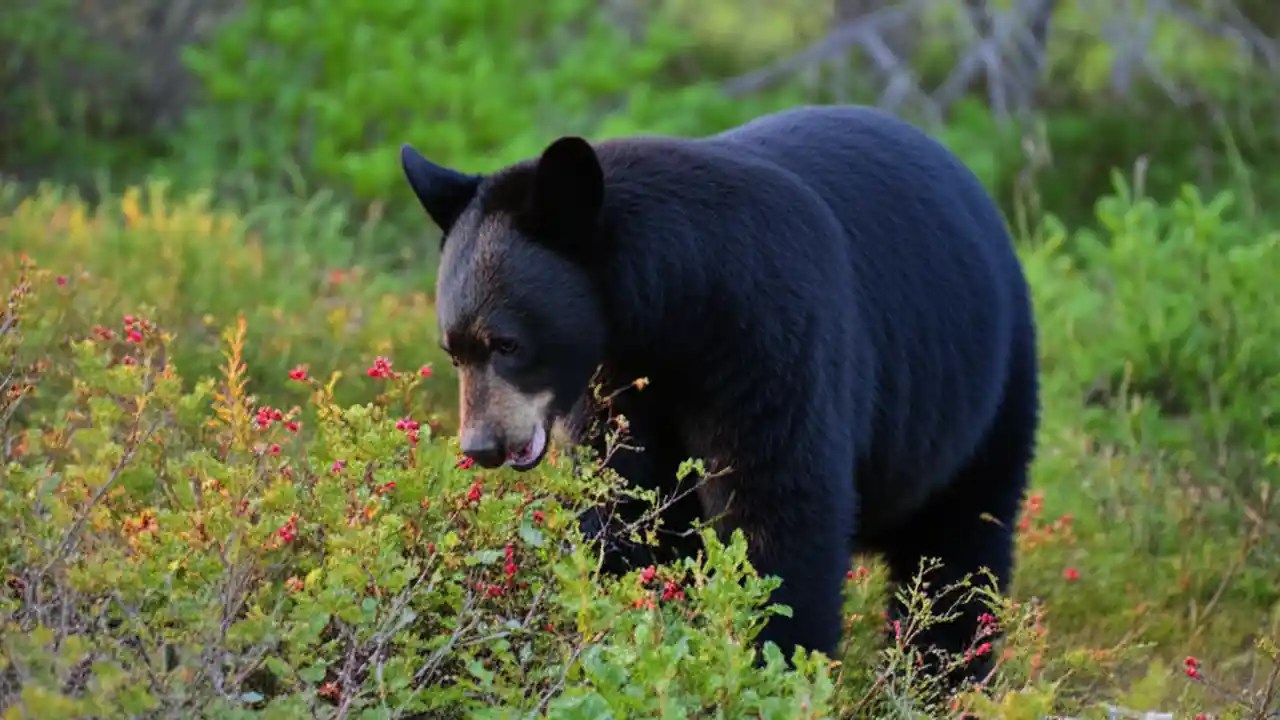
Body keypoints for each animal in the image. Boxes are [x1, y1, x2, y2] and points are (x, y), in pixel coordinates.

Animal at [398, 104, 1039, 689]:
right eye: (452, 350)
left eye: (507, 343)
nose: (481, 445)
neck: (674, 306)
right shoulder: (619, 386)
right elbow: (625, 502)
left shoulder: (768, 337)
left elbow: (778, 507)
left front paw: (771, 666)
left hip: (984, 385)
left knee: (963, 543)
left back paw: (943, 677)